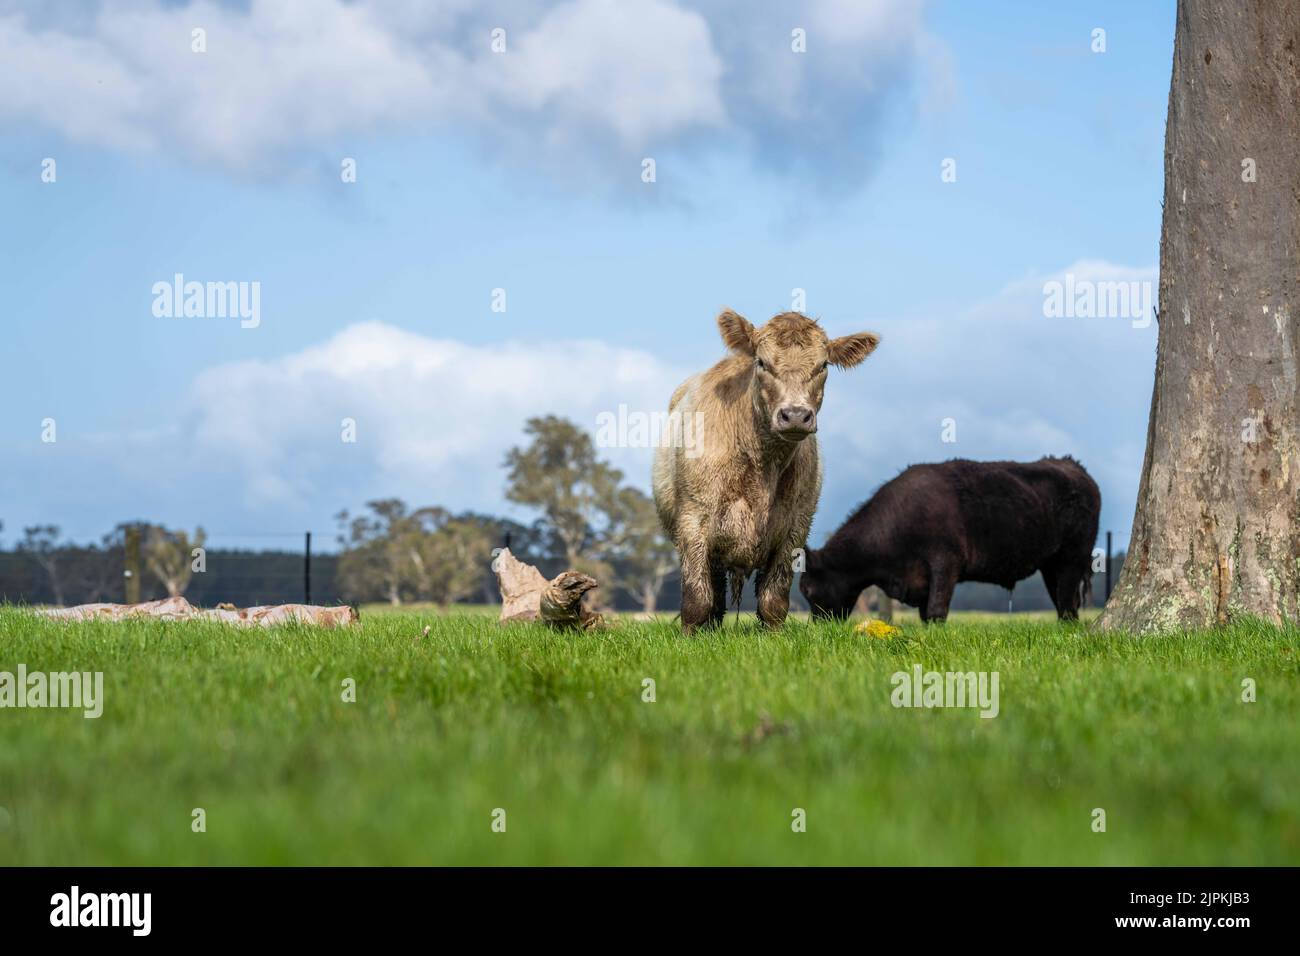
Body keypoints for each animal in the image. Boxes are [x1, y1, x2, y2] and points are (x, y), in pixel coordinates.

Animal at [652, 309, 881, 632]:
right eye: (761, 362)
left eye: (823, 365)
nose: (795, 415)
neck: (762, 464)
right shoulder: (693, 519)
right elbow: (696, 599)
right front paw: (691, 637)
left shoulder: (795, 527)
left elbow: (774, 600)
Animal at [798, 457, 1101, 623]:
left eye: (808, 590)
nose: (818, 628)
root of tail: (1071, 464)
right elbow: (925, 614)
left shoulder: (945, 563)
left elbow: (936, 611)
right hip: (1051, 565)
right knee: (1065, 604)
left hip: (1073, 558)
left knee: (1067, 604)